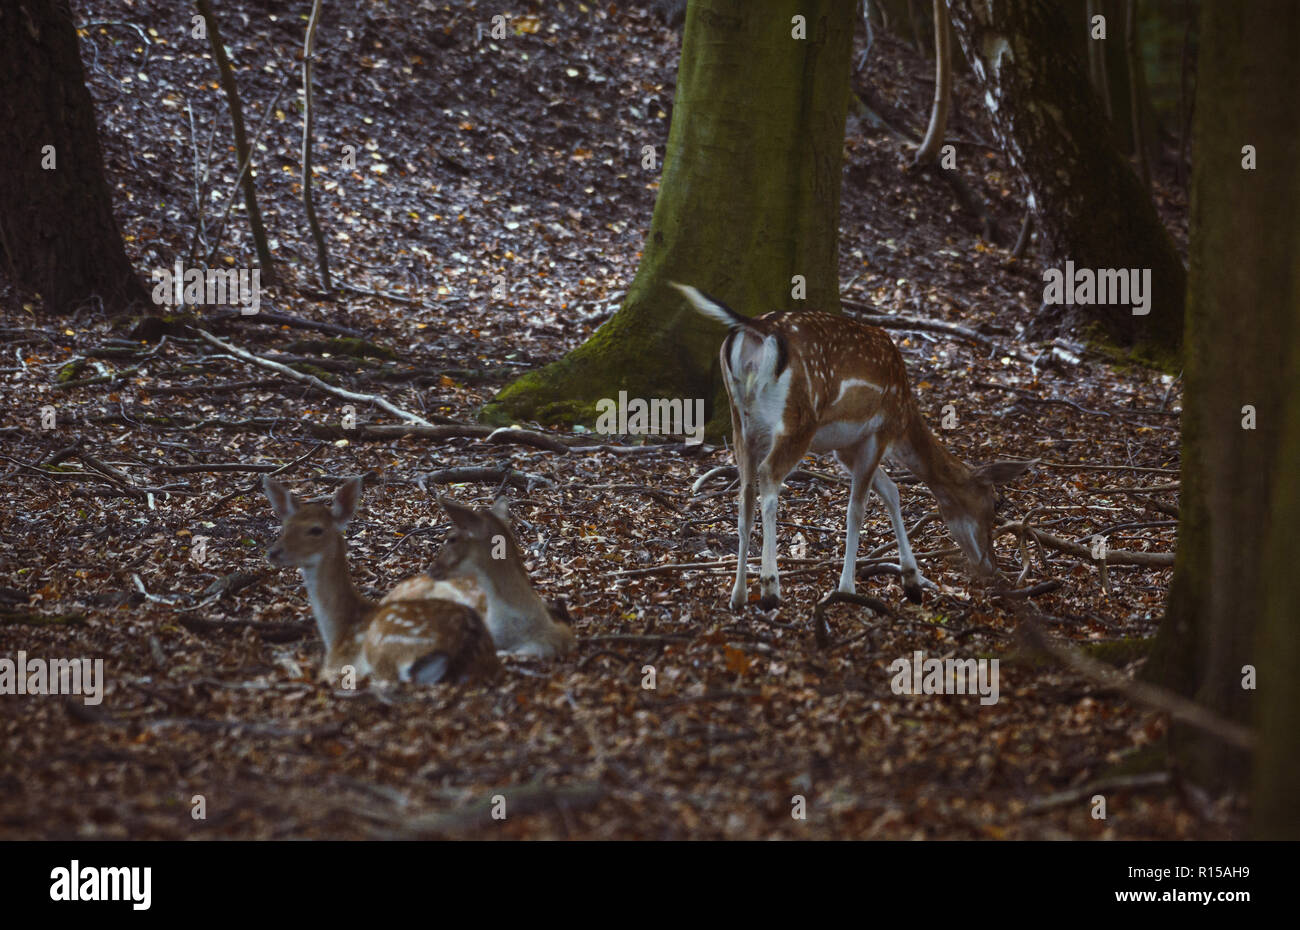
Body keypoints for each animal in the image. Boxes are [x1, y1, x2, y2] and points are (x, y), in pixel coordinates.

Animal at [672, 283, 1032, 611]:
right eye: (994, 504)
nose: (990, 565)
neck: (905, 419)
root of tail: (753, 330)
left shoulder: (844, 446)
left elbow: (891, 492)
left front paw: (913, 582)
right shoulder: (878, 432)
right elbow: (857, 508)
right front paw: (847, 588)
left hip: (741, 421)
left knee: (744, 491)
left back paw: (738, 595)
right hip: (797, 420)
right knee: (769, 477)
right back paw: (771, 589)